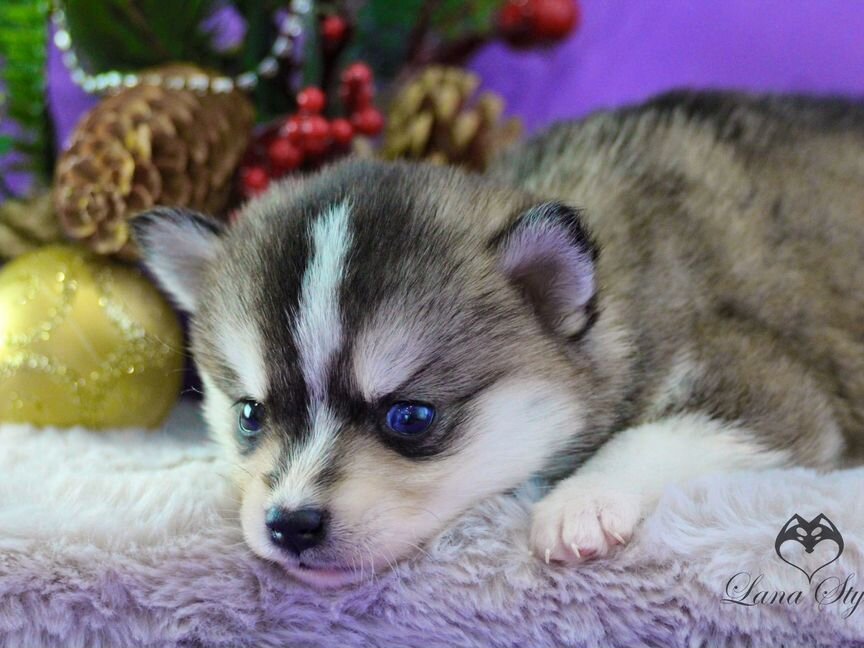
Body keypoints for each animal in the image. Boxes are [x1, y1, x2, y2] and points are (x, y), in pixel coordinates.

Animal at [133, 92, 864, 588]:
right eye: (249, 416)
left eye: (410, 417)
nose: (290, 525)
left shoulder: (772, 389)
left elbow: (659, 434)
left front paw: (579, 504)